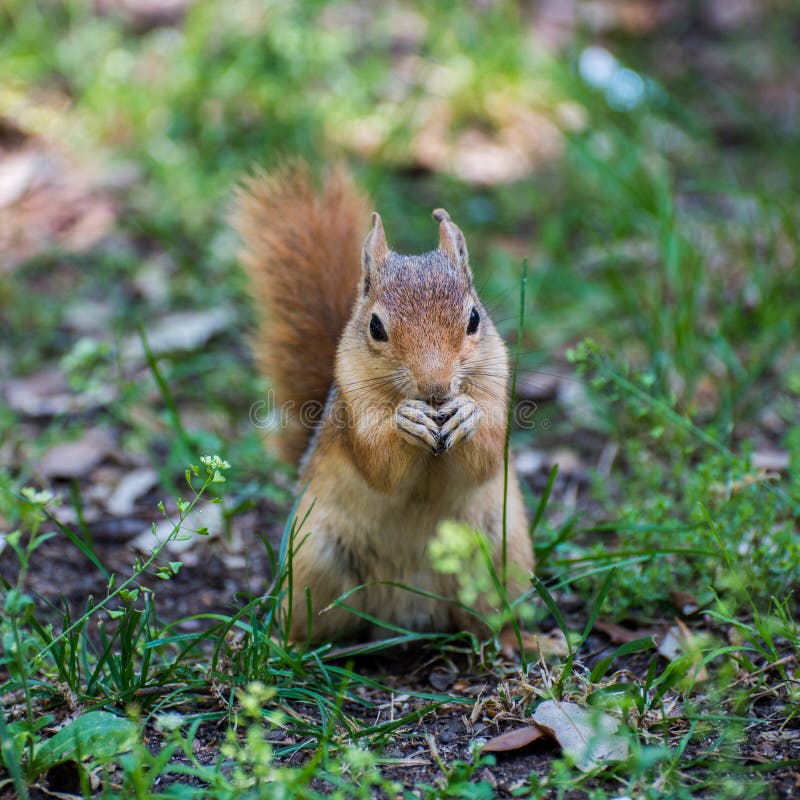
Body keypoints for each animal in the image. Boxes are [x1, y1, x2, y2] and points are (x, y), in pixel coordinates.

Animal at [233, 162, 533, 643]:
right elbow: (379, 464)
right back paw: (281, 643)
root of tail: (410, 609)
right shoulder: (353, 407)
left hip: (502, 557)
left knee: (486, 622)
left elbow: (485, 457)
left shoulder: (497, 384)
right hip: (314, 562)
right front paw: (405, 421)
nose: (435, 387)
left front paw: (466, 414)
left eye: (473, 318)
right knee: (311, 624)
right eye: (375, 327)